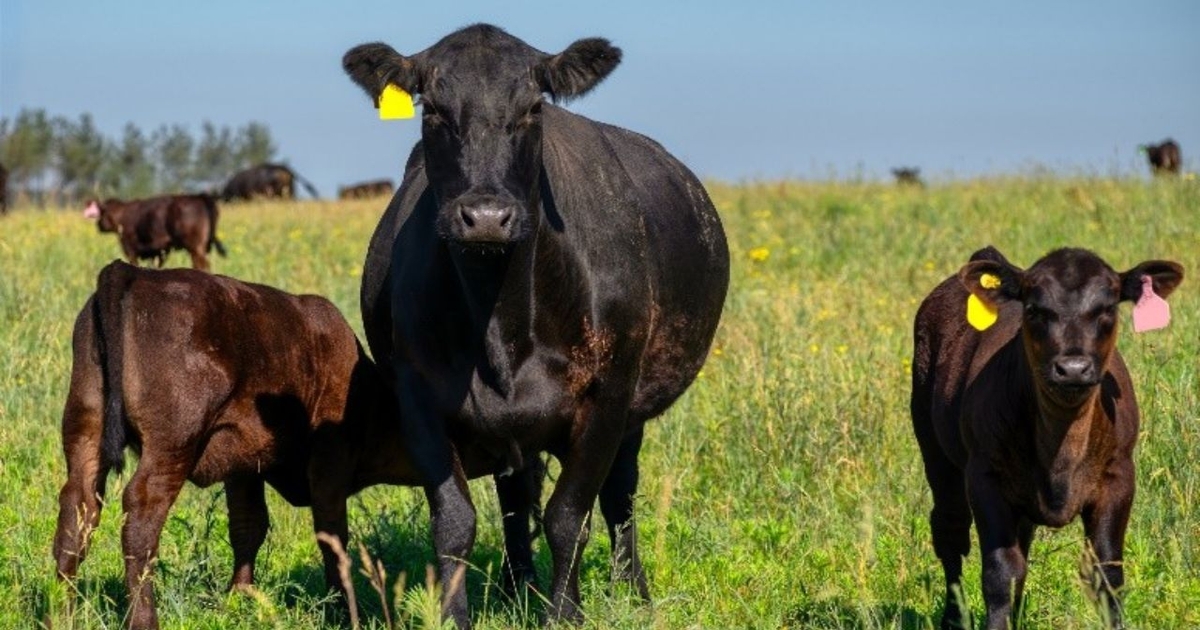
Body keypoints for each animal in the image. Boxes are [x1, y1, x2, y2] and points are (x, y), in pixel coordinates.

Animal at [52, 261, 545, 630]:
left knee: (78, 509)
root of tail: (133, 273)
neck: (372, 395)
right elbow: (333, 535)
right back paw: (142, 620)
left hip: (86, 431)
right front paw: (344, 609)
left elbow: (248, 527)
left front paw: (242, 597)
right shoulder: (328, 463)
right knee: (140, 517)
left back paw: (63, 611)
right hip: (171, 445)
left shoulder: (242, 465)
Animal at [84, 194, 226, 271]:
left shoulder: (130, 249)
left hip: (195, 247)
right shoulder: (158, 253)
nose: (99, 226)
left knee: (202, 265)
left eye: (102, 213)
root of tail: (199, 196)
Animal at [343, 24, 730, 627]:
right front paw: (454, 616)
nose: (485, 217)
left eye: (531, 108)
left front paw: (565, 613)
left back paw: (630, 589)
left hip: (633, 404)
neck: (501, 322)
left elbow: (569, 516)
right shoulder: (417, 396)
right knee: (516, 497)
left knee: (619, 493)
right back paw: (516, 586)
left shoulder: (607, 395)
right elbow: (455, 520)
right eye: (434, 109)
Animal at [910, 246, 1184, 630]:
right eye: (1033, 309)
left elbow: (1108, 573)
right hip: (936, 452)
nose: (1073, 369)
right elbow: (1000, 572)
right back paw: (953, 618)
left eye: (1108, 308)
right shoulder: (985, 477)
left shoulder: (1119, 476)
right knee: (950, 530)